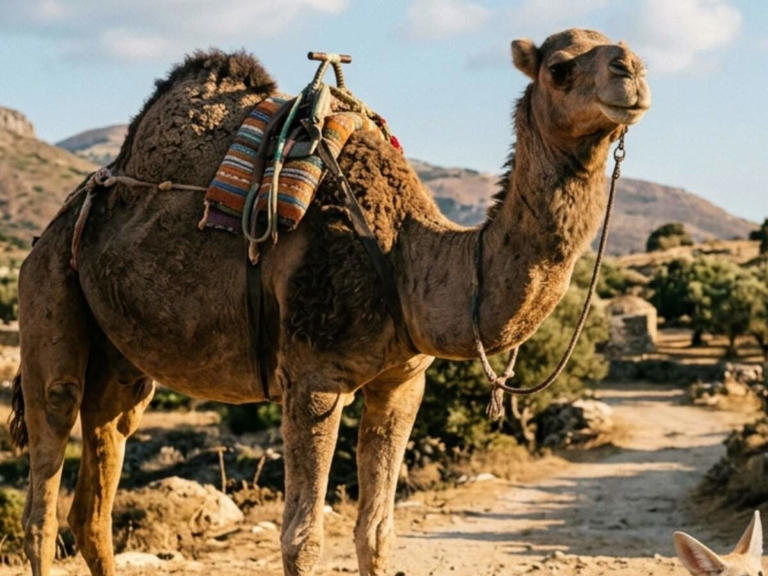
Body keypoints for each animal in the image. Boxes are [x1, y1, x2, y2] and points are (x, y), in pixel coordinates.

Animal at [10, 28, 650, 576]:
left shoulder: (402, 382)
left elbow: (377, 532)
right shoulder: (312, 379)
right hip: (46, 289)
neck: (406, 257)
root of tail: (65, 215)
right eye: (560, 68)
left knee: (97, 488)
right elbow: (302, 538)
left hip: (122, 361)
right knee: (45, 484)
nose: (633, 71)